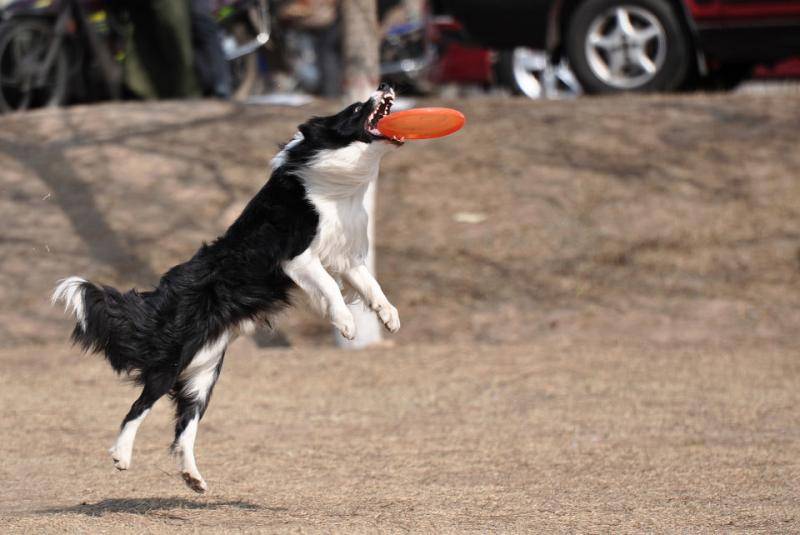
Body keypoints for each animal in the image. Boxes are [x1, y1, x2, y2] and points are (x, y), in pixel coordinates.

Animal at [51, 82, 400, 494]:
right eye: (357, 107)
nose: (384, 85)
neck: (332, 182)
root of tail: (161, 300)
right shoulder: (297, 257)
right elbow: (331, 288)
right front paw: (345, 324)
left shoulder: (345, 257)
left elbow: (372, 286)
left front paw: (389, 318)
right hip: (174, 360)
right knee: (139, 407)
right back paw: (122, 455)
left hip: (204, 373)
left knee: (184, 427)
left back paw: (193, 478)